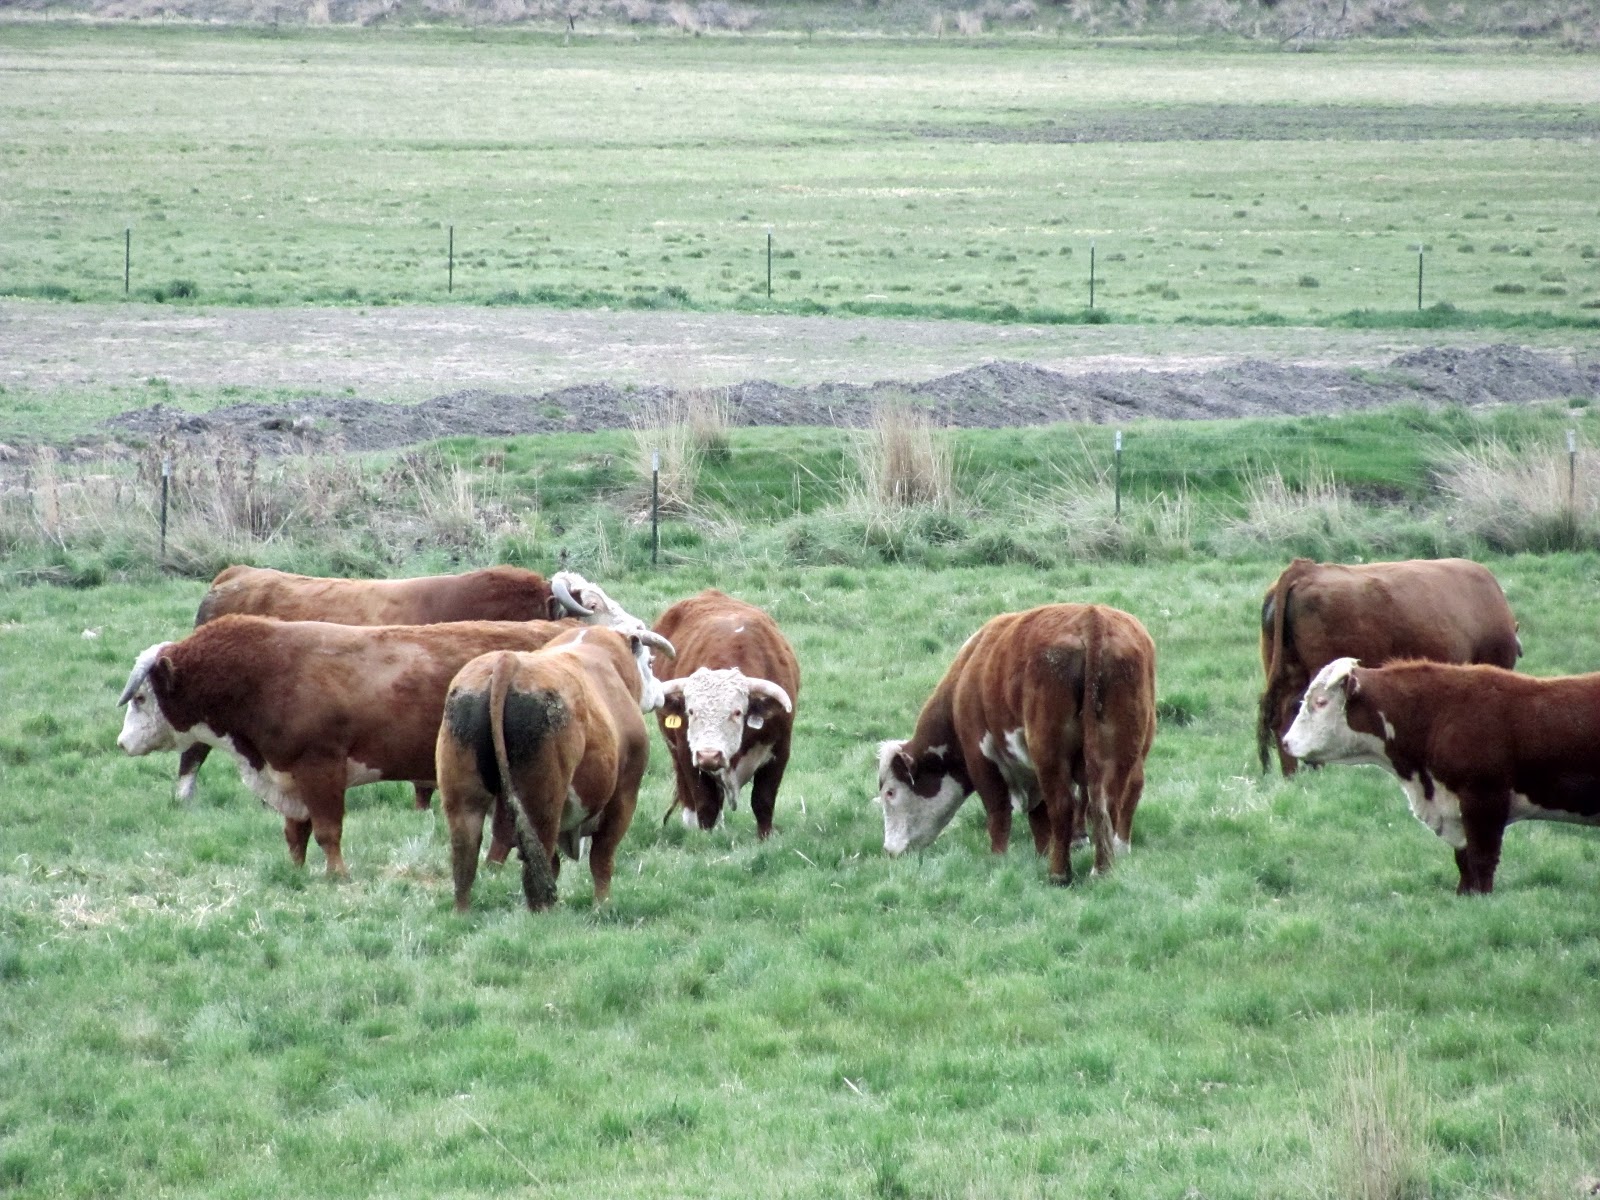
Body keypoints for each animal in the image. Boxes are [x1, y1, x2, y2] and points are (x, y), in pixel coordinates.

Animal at [116, 613, 673, 878]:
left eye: (140, 697)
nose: (121, 743)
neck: (266, 673)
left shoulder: (322, 770)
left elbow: (327, 831)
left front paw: (337, 876)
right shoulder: (287, 776)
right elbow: (295, 834)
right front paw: (295, 873)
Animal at [436, 626, 649, 912]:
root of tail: (509, 660)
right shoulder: (623, 796)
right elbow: (602, 859)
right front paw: (602, 905)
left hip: (463, 800)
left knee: (465, 862)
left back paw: (463, 911)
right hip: (542, 802)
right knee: (538, 869)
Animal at [649, 590, 800, 839]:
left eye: (737, 712)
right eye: (691, 711)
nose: (709, 755)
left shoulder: (780, 750)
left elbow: (763, 801)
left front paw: (765, 838)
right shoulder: (689, 755)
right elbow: (706, 805)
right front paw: (707, 839)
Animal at [874, 604, 1156, 884]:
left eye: (890, 792)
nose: (889, 850)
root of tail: (1092, 615)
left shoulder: (982, 756)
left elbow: (999, 811)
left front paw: (998, 858)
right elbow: (1038, 817)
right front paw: (1041, 853)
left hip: (1048, 752)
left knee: (1062, 805)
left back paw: (1059, 873)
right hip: (1123, 751)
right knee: (1112, 800)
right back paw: (1104, 867)